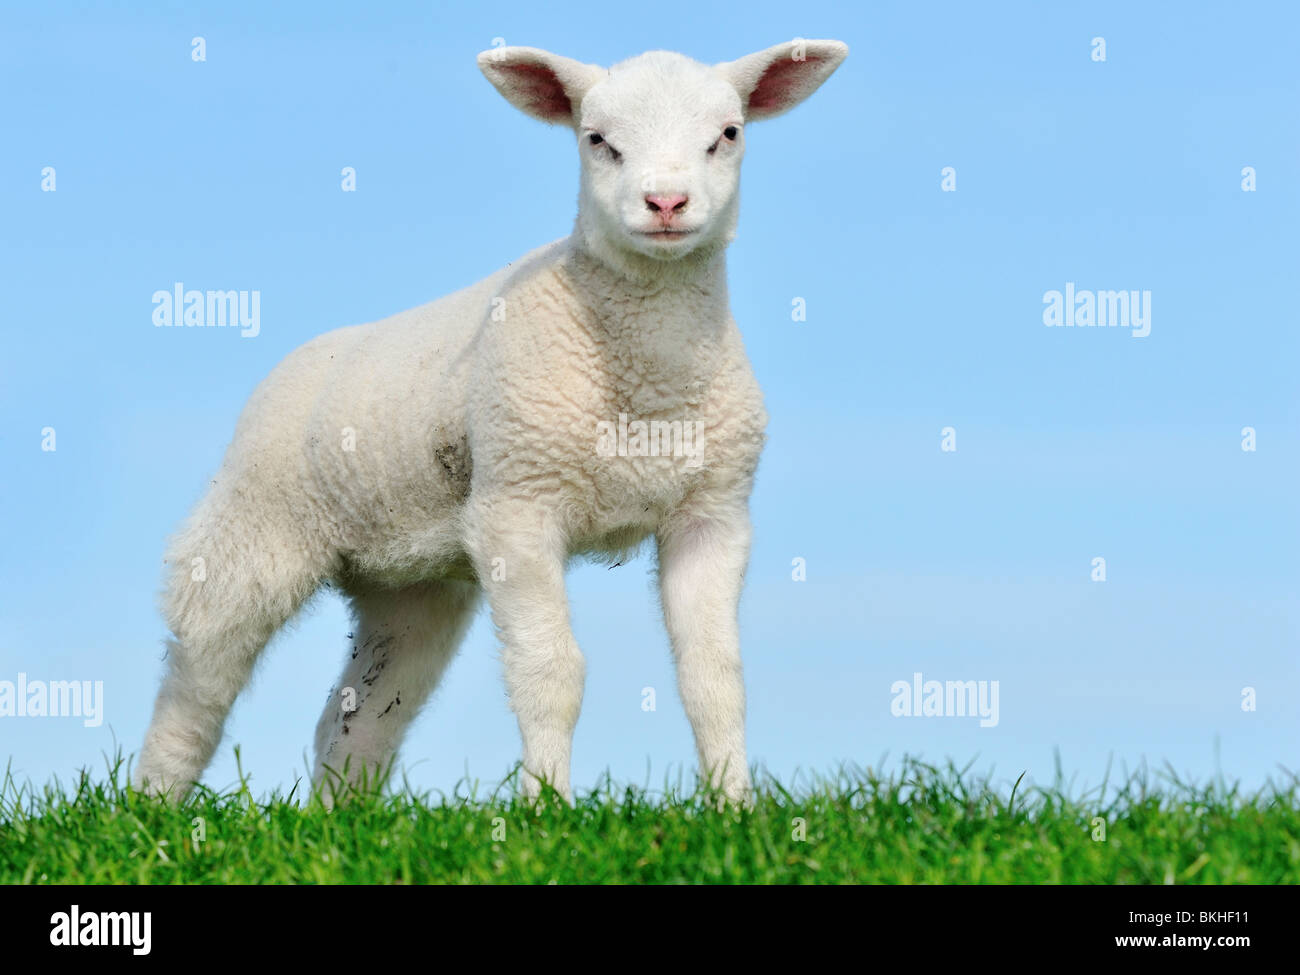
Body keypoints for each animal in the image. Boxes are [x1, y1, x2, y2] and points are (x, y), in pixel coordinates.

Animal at [134, 39, 849, 804]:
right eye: (597, 140)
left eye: (728, 134)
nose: (665, 202)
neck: (650, 382)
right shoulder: (517, 507)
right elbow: (552, 673)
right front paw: (547, 808)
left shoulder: (712, 512)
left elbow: (715, 680)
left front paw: (734, 808)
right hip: (252, 532)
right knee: (197, 686)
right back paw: (150, 806)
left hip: (412, 585)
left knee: (358, 714)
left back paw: (336, 817)